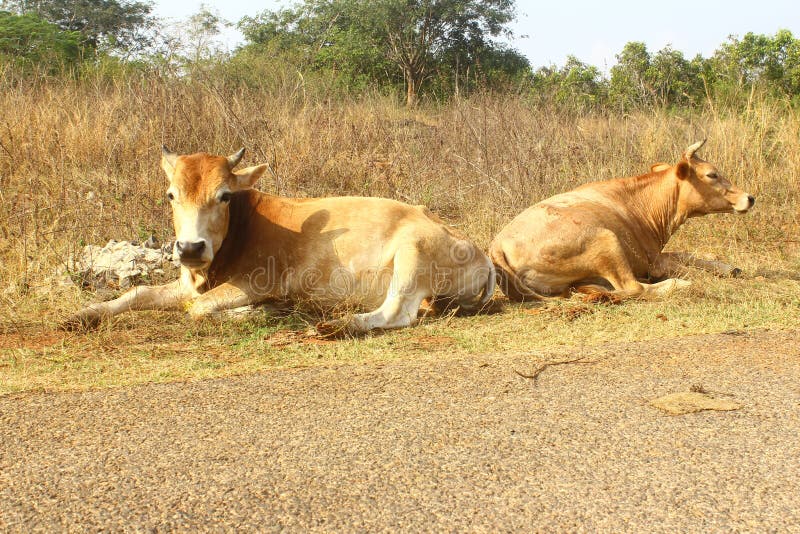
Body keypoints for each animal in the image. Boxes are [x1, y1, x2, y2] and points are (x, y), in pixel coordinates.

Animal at [64, 147, 496, 335]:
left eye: (224, 195)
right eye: (171, 195)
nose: (189, 248)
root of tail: (482, 254)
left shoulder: (257, 282)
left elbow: (199, 309)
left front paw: (264, 312)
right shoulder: (186, 281)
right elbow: (136, 294)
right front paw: (83, 313)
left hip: (412, 253)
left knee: (396, 314)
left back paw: (335, 325)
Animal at [489, 140, 755, 301]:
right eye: (712, 174)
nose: (749, 198)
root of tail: (497, 245)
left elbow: (687, 255)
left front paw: (729, 267)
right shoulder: (653, 262)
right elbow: (684, 266)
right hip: (606, 240)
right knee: (634, 287)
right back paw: (679, 285)